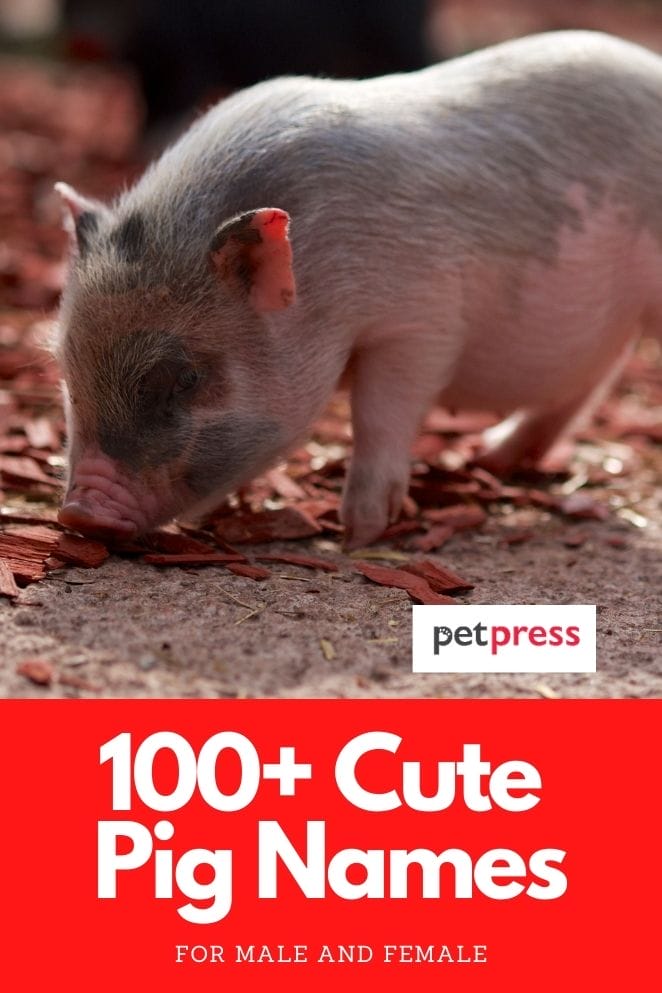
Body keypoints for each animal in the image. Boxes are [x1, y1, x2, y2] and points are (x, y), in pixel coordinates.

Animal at [55, 30, 662, 548]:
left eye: (187, 378)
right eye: (67, 368)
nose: (80, 514)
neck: (321, 274)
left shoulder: (420, 322)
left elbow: (378, 414)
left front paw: (360, 532)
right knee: (594, 378)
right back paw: (490, 459)